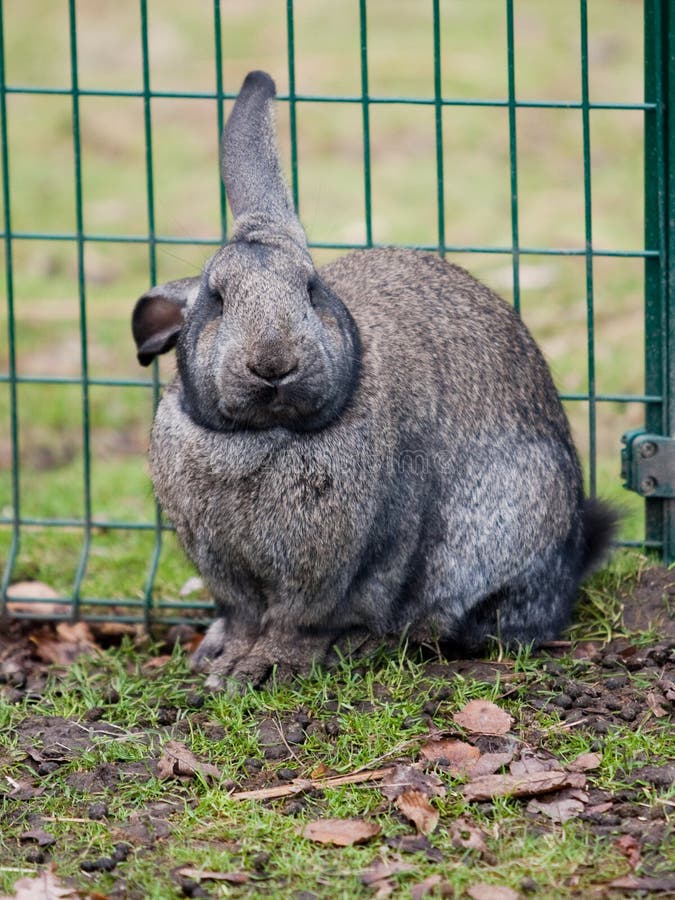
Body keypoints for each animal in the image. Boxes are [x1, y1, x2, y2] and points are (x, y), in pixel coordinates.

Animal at [131, 70, 616, 690]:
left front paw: (263, 670)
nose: (273, 362)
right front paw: (225, 662)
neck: (262, 434)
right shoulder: (229, 572)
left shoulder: (341, 564)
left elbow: (300, 623)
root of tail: (573, 558)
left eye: (311, 288)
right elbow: (244, 616)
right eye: (217, 297)